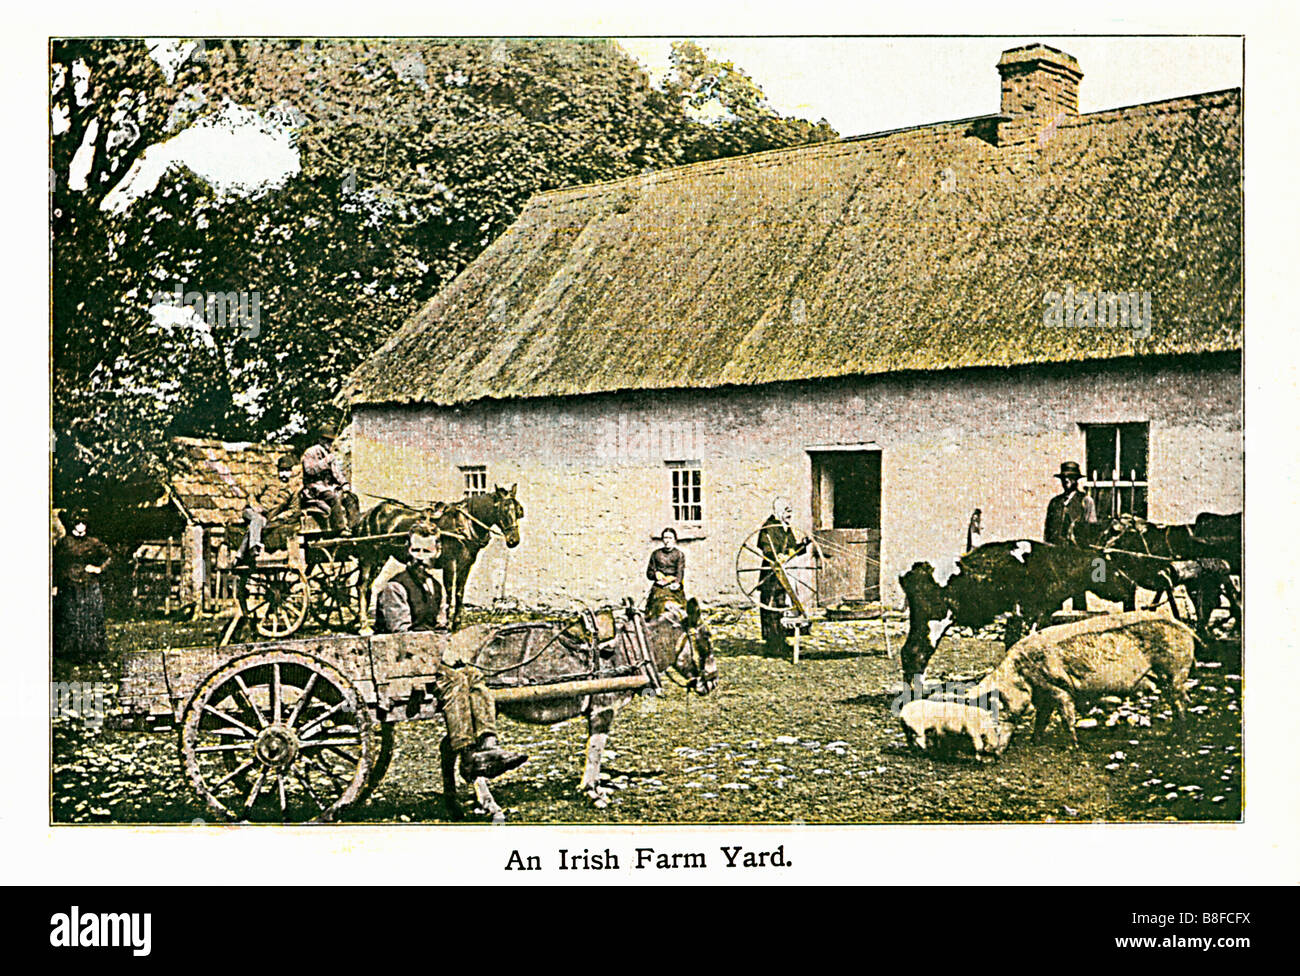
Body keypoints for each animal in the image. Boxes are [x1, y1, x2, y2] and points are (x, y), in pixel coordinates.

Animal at [441, 600, 717, 821]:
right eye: (707, 638)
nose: (712, 682)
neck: (635, 645)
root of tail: (451, 647)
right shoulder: (604, 709)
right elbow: (596, 751)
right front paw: (593, 792)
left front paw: (591, 789)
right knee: (469, 752)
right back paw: (489, 804)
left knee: (451, 747)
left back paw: (455, 806)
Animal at [899, 543, 1133, 686]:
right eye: (1112, 568)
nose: (1131, 584)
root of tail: (914, 568)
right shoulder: (1035, 613)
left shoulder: (1016, 617)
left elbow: (1011, 645)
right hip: (933, 622)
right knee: (916, 652)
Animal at [961, 610, 1190, 748]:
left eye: (996, 708)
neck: (1021, 673)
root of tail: (1186, 628)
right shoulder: (1043, 694)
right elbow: (1041, 718)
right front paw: (1034, 741)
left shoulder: (1059, 687)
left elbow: (1066, 715)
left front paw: (1073, 745)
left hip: (1175, 668)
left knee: (1179, 700)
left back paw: (1178, 731)